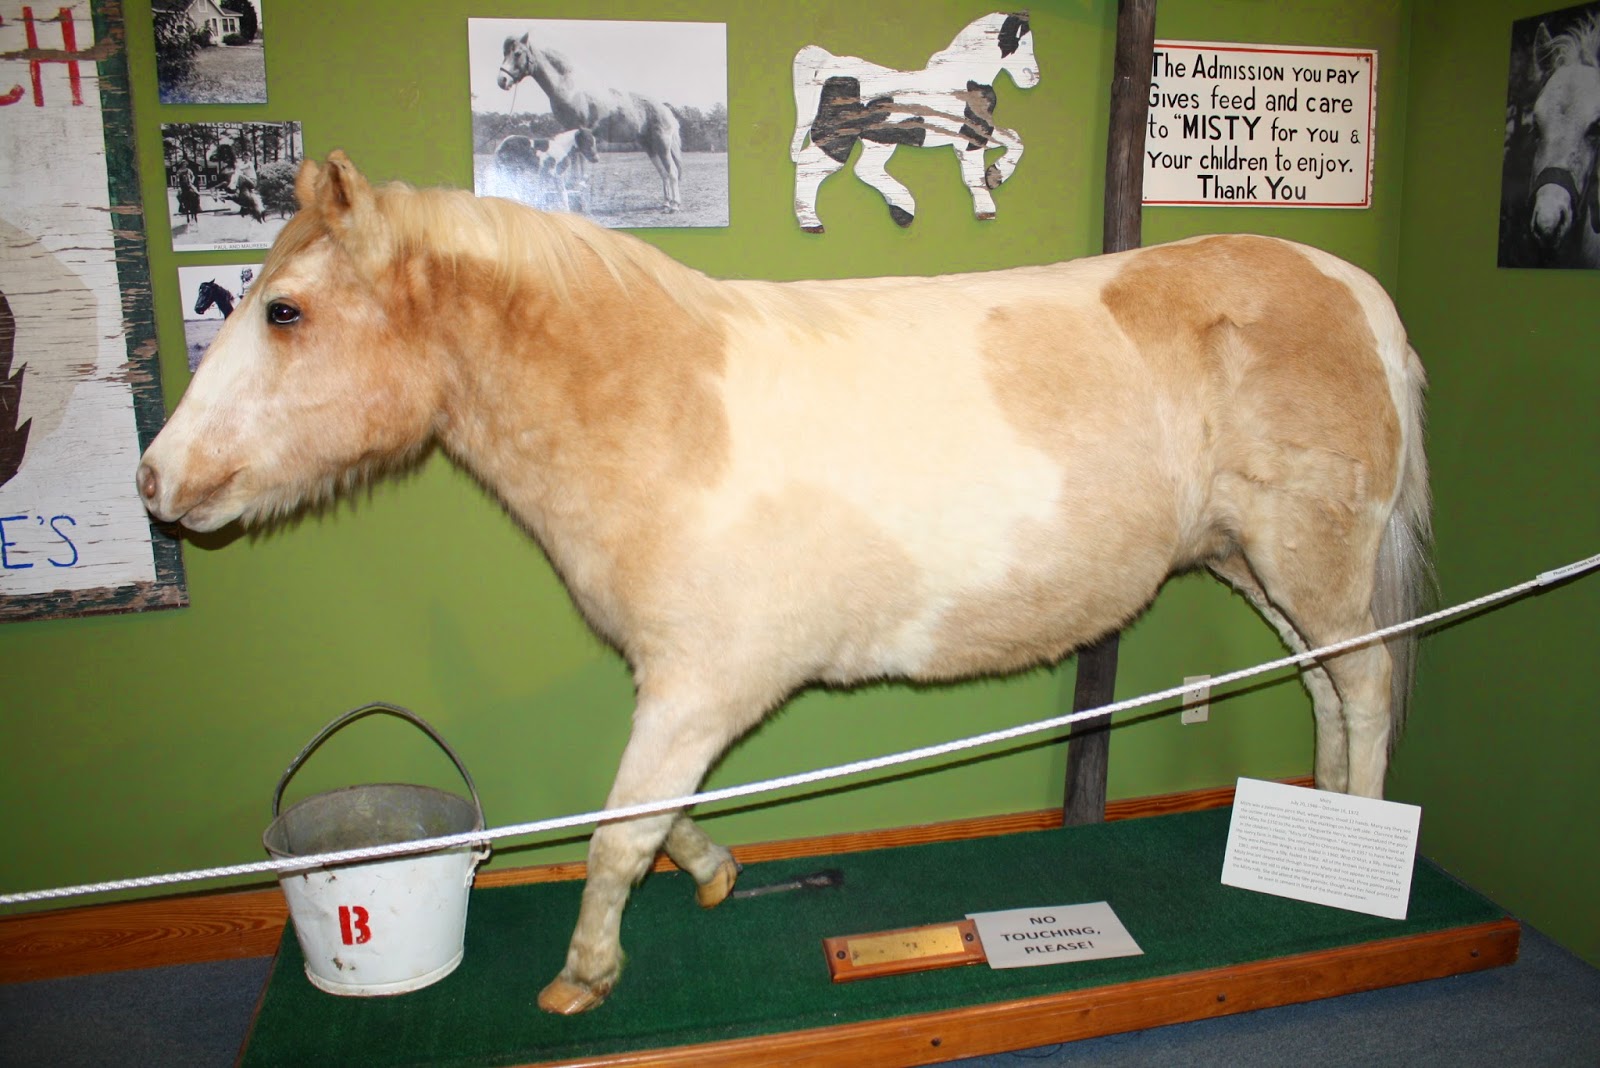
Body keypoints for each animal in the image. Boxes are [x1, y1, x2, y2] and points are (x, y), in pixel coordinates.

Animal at [137, 152, 1432, 1016]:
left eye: (283, 309)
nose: (157, 478)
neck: (657, 408)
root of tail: (1349, 287)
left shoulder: (699, 686)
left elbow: (617, 832)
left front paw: (582, 977)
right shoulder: (683, 690)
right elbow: (654, 819)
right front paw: (716, 876)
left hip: (1304, 558)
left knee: (1367, 685)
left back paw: (1358, 860)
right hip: (1255, 566)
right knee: (1331, 688)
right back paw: (1320, 818)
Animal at [496, 33, 683, 212]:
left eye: (517, 53)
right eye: (504, 53)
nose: (502, 80)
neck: (569, 88)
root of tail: (666, 110)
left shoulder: (580, 127)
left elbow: (579, 160)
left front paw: (578, 184)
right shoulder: (569, 128)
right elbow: (575, 157)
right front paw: (573, 183)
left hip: (662, 145)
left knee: (672, 172)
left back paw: (674, 206)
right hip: (649, 147)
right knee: (663, 173)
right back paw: (666, 203)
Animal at [791, 12, 1039, 232]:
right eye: (1023, 41)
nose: (1032, 78)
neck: (967, 77)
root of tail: (828, 66)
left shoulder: (976, 134)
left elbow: (1016, 140)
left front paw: (995, 177)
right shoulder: (972, 136)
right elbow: (975, 175)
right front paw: (987, 204)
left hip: (879, 141)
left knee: (865, 169)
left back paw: (903, 210)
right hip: (838, 138)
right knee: (808, 164)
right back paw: (811, 223)